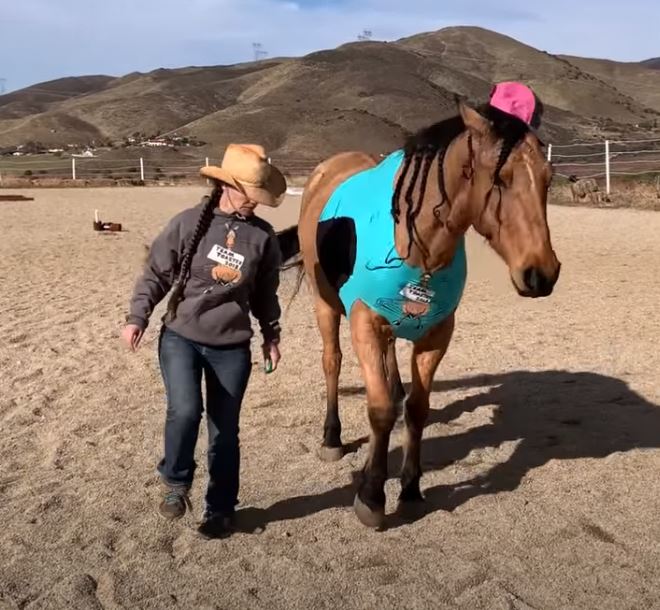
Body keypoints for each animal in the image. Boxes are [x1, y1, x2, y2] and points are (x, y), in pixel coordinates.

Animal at [278, 99, 561, 529]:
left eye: (548, 179)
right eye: (502, 178)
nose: (542, 273)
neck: (418, 248)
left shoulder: (436, 334)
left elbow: (417, 409)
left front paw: (410, 488)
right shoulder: (364, 324)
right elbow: (378, 409)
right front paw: (371, 494)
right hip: (324, 305)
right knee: (332, 362)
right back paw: (332, 436)